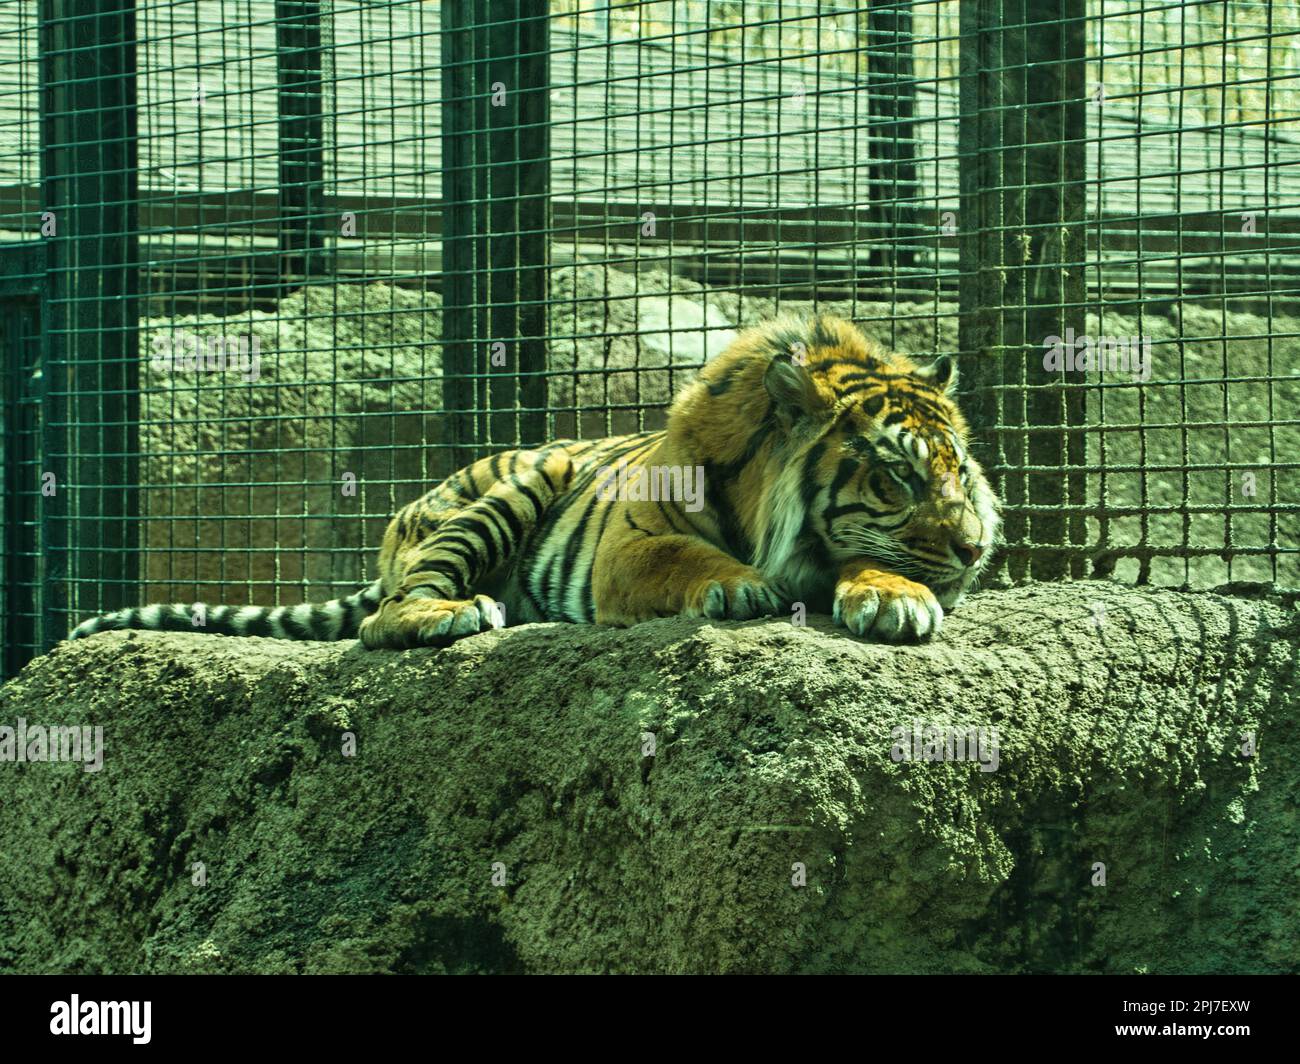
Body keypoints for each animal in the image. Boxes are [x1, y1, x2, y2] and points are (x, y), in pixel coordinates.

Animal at [70, 314, 1001, 649]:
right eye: (897, 476)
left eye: (958, 471)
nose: (974, 548)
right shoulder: (629, 548)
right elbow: (685, 560)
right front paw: (742, 587)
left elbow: (874, 566)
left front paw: (894, 597)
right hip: (517, 482)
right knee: (384, 618)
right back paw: (447, 616)